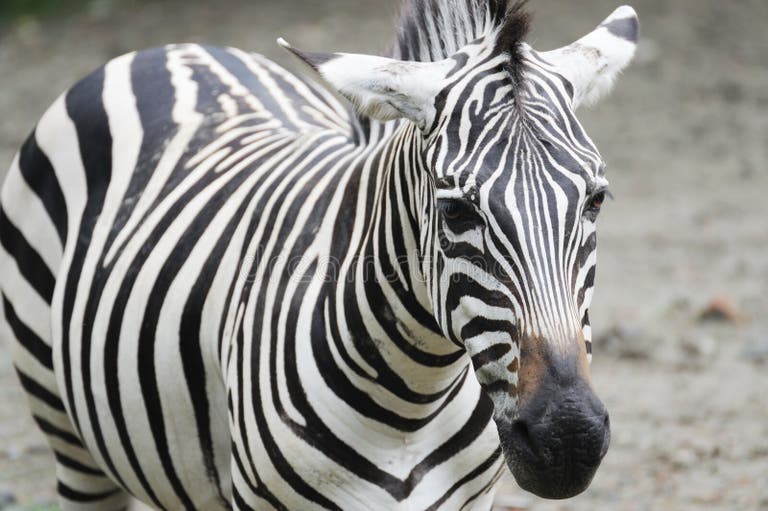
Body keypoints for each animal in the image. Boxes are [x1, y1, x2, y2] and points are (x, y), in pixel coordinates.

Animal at [0, 0, 638, 508]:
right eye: (457, 212)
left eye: (596, 201)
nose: (569, 439)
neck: (416, 395)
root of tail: (166, 49)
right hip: (67, 432)